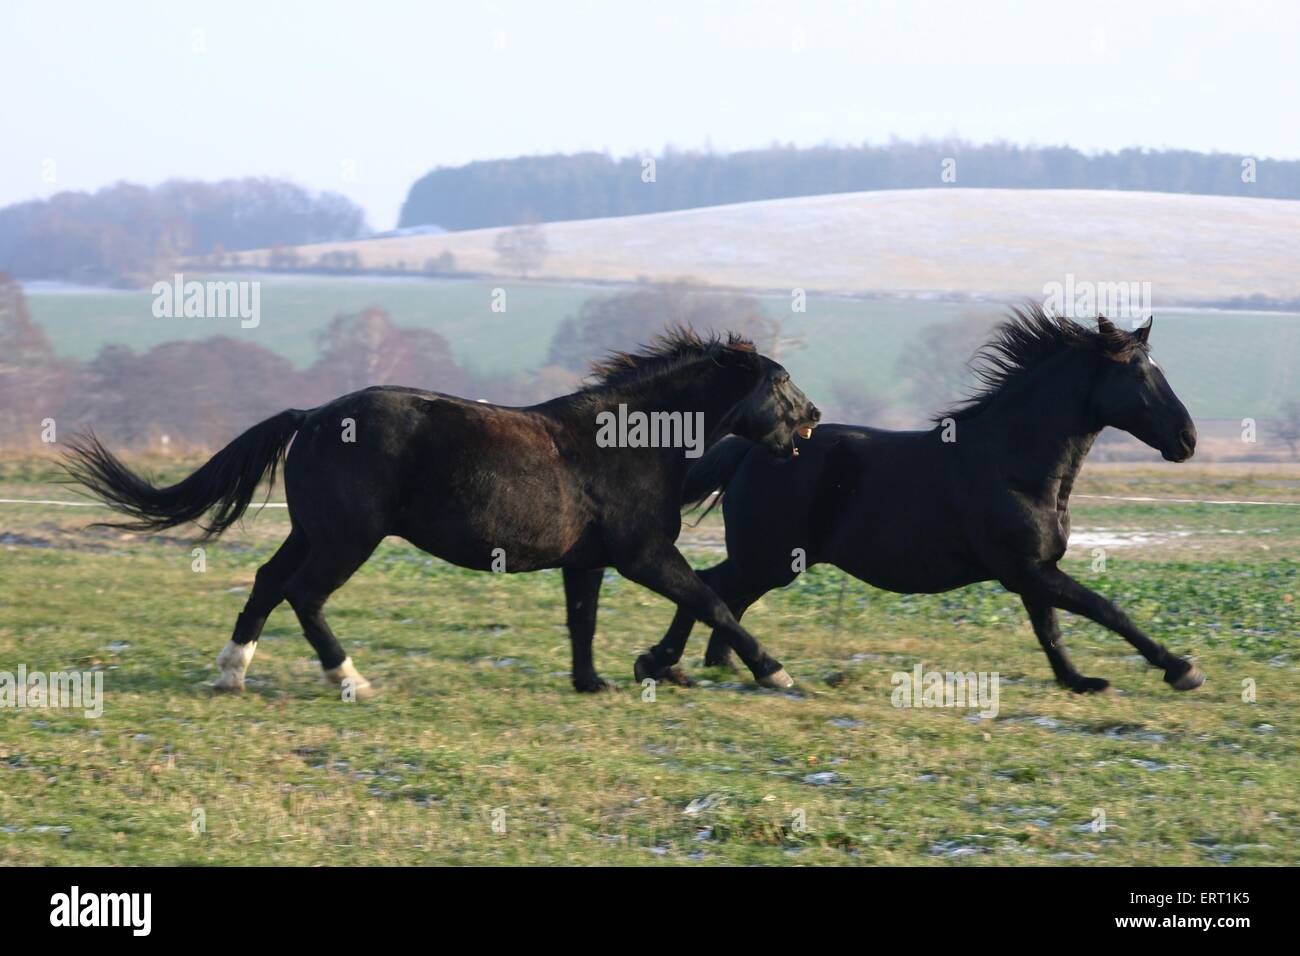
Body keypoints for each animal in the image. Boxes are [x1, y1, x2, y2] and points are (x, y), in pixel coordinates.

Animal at [62, 328, 821, 698]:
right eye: (780, 382)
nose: (812, 417)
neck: (629, 441)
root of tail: (312, 417)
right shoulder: (644, 554)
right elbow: (711, 601)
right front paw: (774, 673)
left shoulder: (587, 562)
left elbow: (583, 620)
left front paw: (596, 682)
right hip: (349, 538)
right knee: (304, 595)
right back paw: (350, 680)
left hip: (314, 531)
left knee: (268, 583)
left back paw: (231, 673)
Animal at [637, 307, 1205, 693]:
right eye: (1138, 373)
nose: (1187, 439)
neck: (1015, 464)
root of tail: (751, 449)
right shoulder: (1027, 569)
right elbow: (1106, 610)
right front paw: (1182, 669)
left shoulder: (1033, 570)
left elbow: (1050, 630)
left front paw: (1080, 681)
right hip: (769, 557)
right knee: (709, 586)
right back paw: (666, 663)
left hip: (774, 561)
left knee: (725, 595)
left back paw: (726, 665)